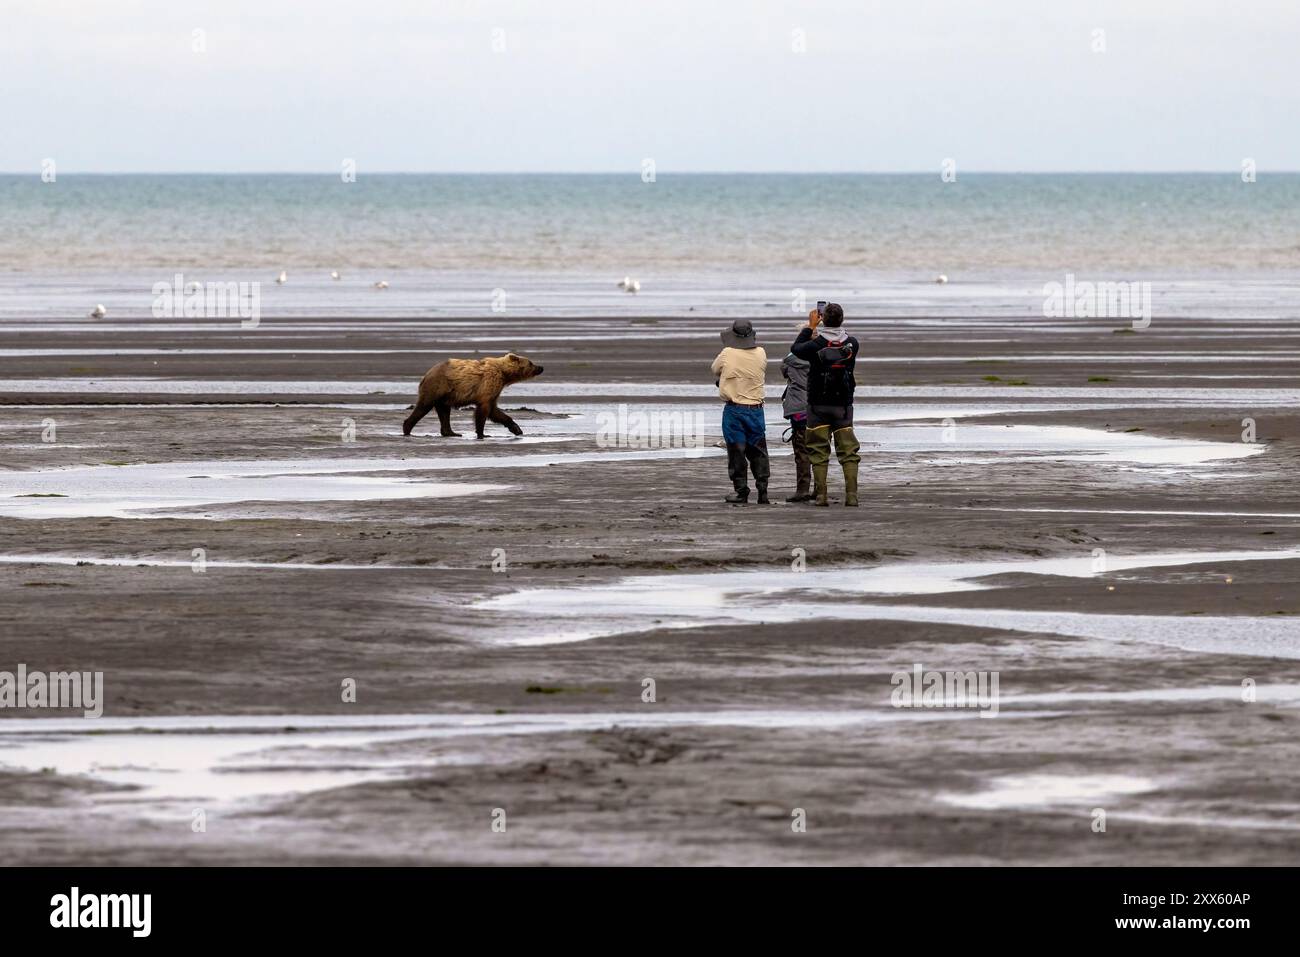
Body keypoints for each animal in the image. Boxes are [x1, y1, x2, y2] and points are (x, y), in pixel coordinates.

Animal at [402, 353, 544, 439]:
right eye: (530, 363)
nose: (541, 367)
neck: (504, 374)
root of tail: (426, 374)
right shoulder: (488, 384)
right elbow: (484, 410)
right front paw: (482, 433)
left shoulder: (495, 390)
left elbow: (495, 411)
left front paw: (516, 429)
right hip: (437, 387)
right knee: (424, 406)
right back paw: (407, 428)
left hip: (445, 396)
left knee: (444, 412)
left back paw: (452, 433)